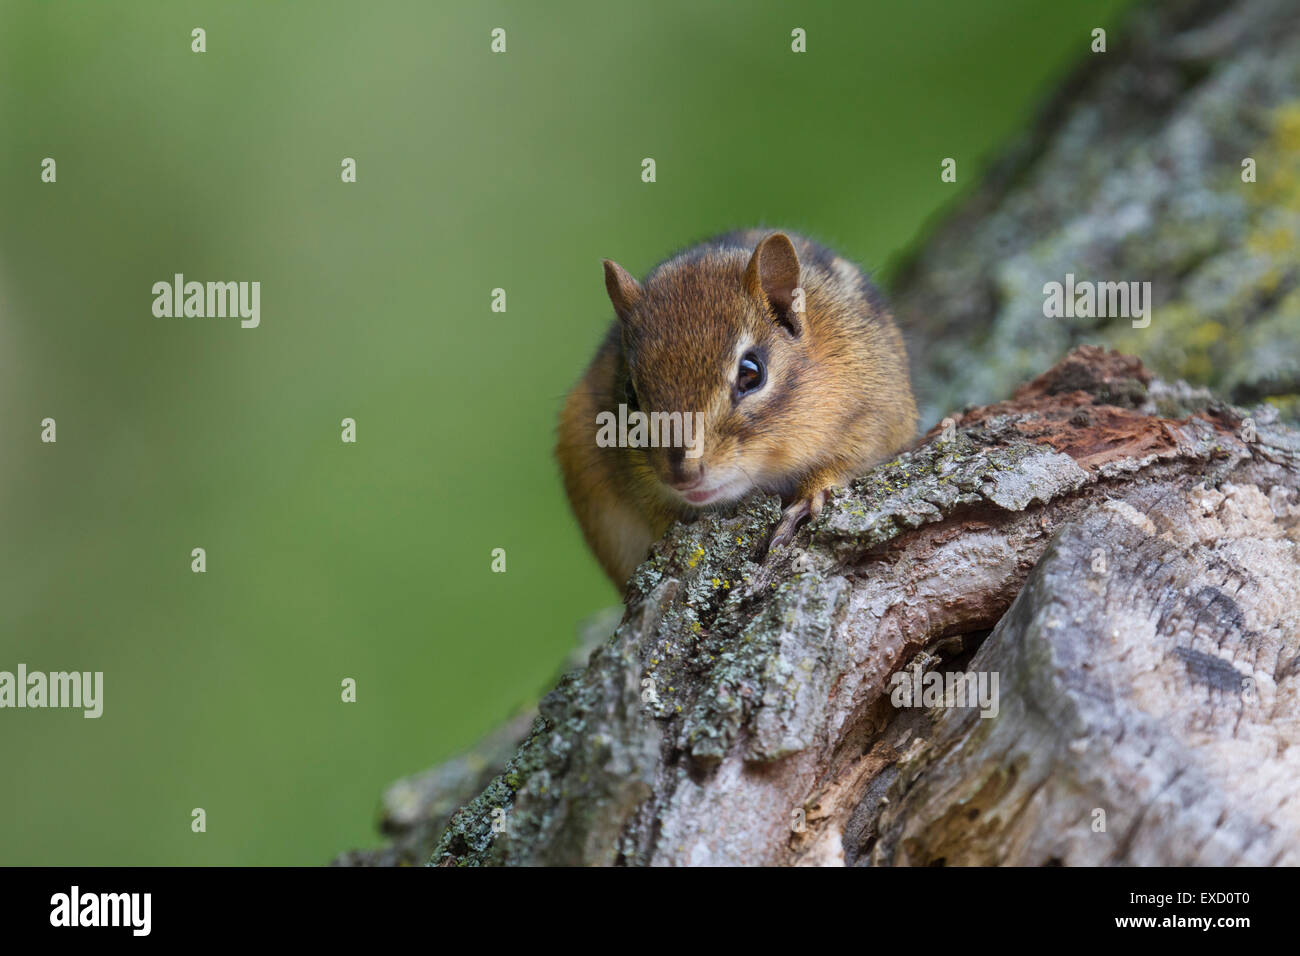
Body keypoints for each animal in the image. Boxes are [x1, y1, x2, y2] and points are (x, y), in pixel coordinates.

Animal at [556, 229, 918, 591]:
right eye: (630, 393)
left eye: (752, 373)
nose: (682, 476)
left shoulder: (879, 406)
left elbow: (853, 456)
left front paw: (811, 494)